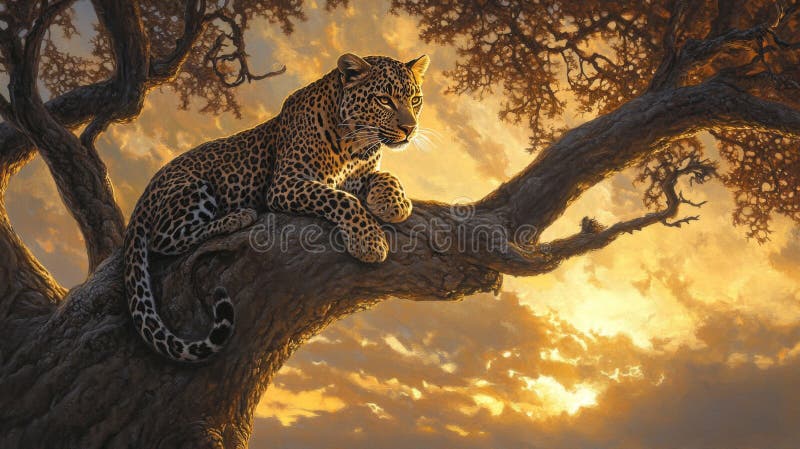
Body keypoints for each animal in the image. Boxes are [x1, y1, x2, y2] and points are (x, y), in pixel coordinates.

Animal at [124, 53, 430, 362]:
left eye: (415, 100)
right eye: (384, 100)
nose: (410, 129)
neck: (356, 145)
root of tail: (145, 194)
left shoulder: (358, 175)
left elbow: (384, 176)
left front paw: (395, 203)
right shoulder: (285, 183)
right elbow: (342, 199)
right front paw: (369, 241)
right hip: (194, 187)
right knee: (163, 241)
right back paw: (237, 217)